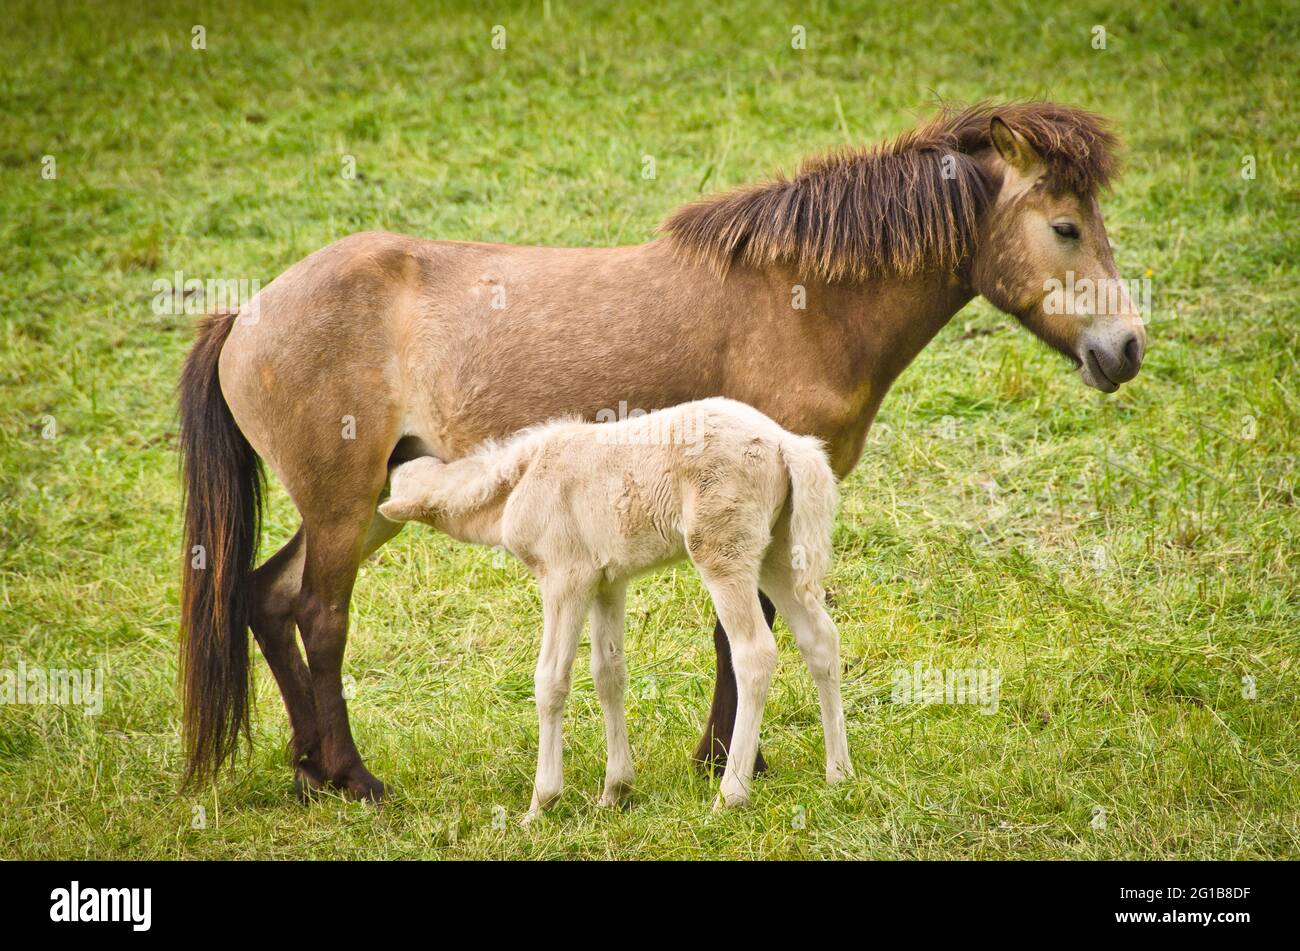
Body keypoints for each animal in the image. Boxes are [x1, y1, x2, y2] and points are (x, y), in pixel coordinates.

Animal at [377, 398, 849, 818]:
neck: (520, 481)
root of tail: (786, 443)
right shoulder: (608, 581)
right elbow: (609, 674)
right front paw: (615, 791)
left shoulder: (566, 577)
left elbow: (551, 679)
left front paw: (541, 803)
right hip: (779, 552)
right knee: (820, 639)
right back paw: (838, 773)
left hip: (722, 549)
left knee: (755, 652)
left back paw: (730, 796)